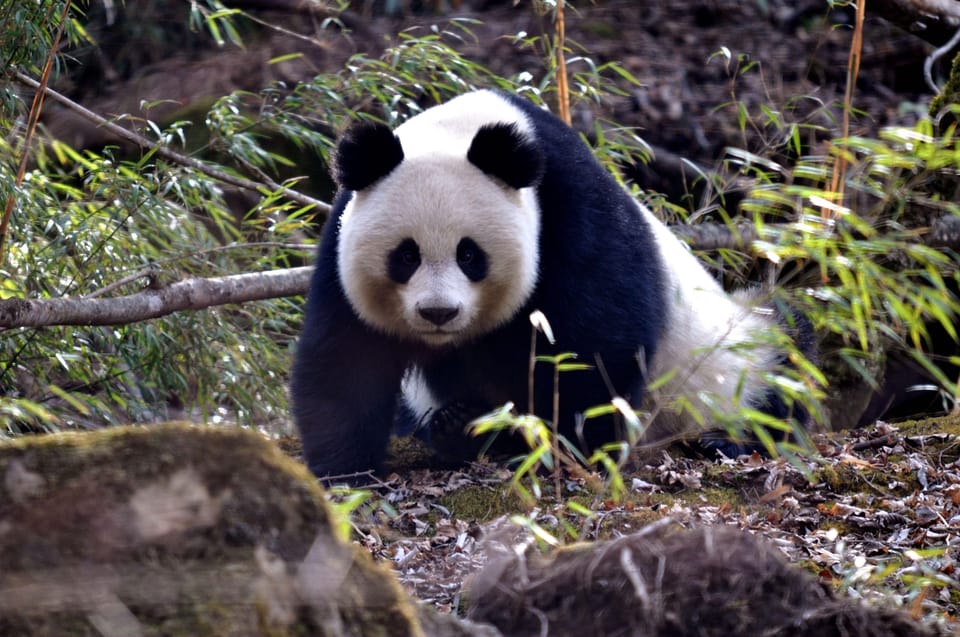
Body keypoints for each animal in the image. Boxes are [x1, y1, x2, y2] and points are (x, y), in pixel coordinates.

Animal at [291, 89, 810, 479]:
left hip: (733, 359)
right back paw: (458, 424)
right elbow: (346, 357)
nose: (439, 313)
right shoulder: (341, 244)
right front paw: (345, 471)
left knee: (785, 353)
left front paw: (565, 445)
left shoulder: (573, 216)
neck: (465, 131)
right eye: (406, 256)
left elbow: (597, 344)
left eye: (469, 255)